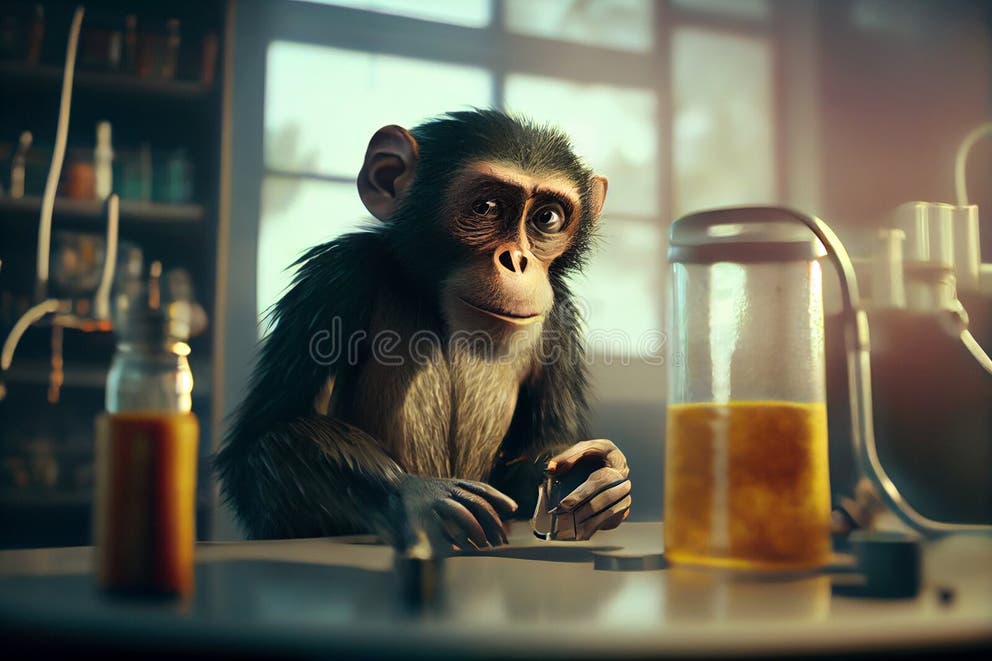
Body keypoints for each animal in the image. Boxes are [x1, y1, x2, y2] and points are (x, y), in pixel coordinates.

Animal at [215, 110, 632, 551]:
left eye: (547, 218)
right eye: (486, 207)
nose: (516, 260)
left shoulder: (560, 319)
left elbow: (545, 446)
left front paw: (599, 479)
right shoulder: (333, 281)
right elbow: (262, 440)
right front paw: (417, 493)